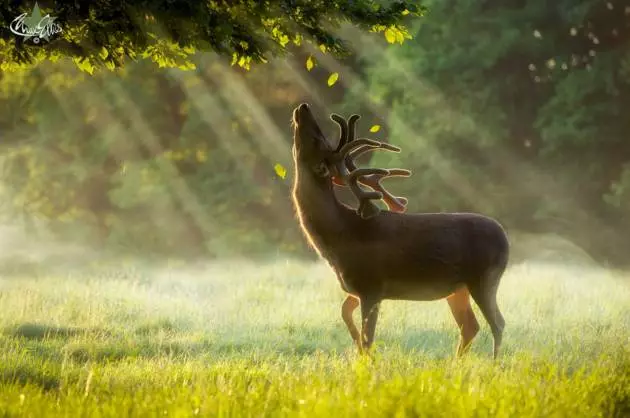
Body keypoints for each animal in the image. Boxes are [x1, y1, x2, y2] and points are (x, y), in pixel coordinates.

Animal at [294, 103, 512, 358]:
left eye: (318, 140)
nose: (303, 107)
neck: (339, 237)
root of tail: (505, 238)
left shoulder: (372, 285)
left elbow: (369, 338)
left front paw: (365, 359)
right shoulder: (356, 289)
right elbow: (345, 313)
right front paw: (356, 347)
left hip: (485, 278)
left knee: (497, 323)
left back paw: (494, 362)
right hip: (458, 288)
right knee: (470, 325)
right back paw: (456, 362)